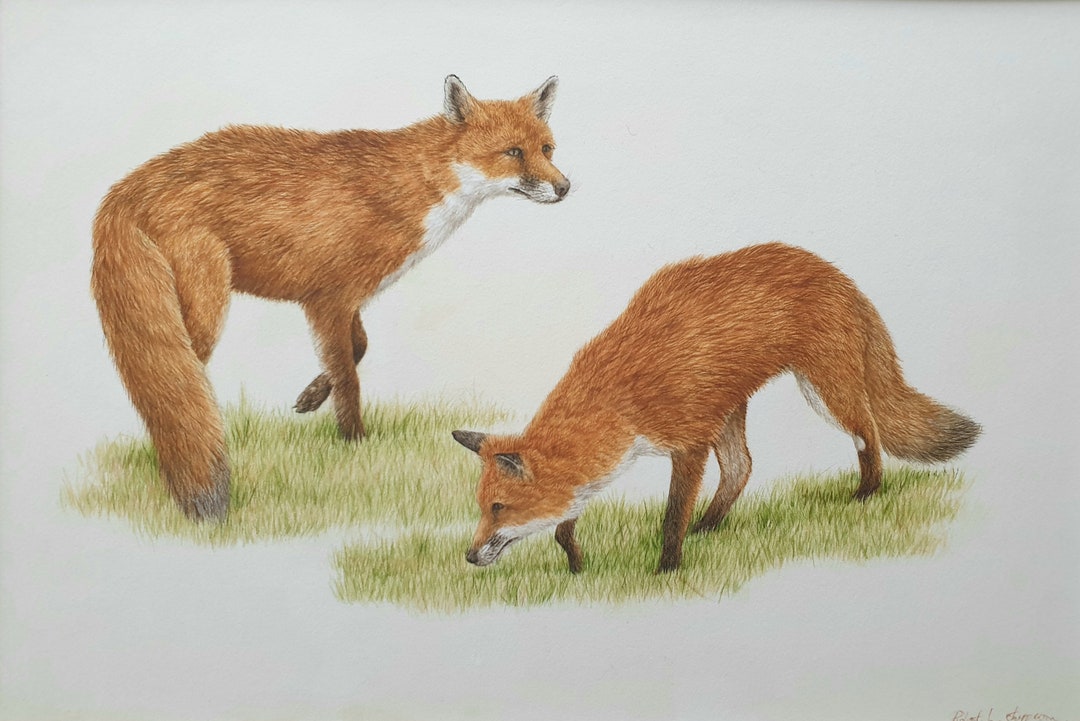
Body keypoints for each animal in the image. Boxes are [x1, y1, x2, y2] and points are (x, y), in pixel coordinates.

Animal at [91, 75, 569, 522]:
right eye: (513, 152)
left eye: (547, 149)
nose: (565, 187)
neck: (409, 187)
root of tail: (122, 190)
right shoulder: (328, 300)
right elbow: (349, 377)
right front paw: (354, 441)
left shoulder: (346, 299)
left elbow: (357, 349)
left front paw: (310, 397)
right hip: (204, 308)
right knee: (178, 382)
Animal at [452, 242, 981, 574]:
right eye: (481, 508)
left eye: (498, 508)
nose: (469, 556)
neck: (620, 397)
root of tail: (833, 271)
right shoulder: (612, 464)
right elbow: (566, 524)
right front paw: (578, 566)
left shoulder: (688, 443)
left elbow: (670, 519)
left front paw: (666, 570)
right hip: (730, 409)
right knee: (743, 467)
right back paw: (710, 527)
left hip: (824, 392)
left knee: (868, 433)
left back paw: (866, 496)